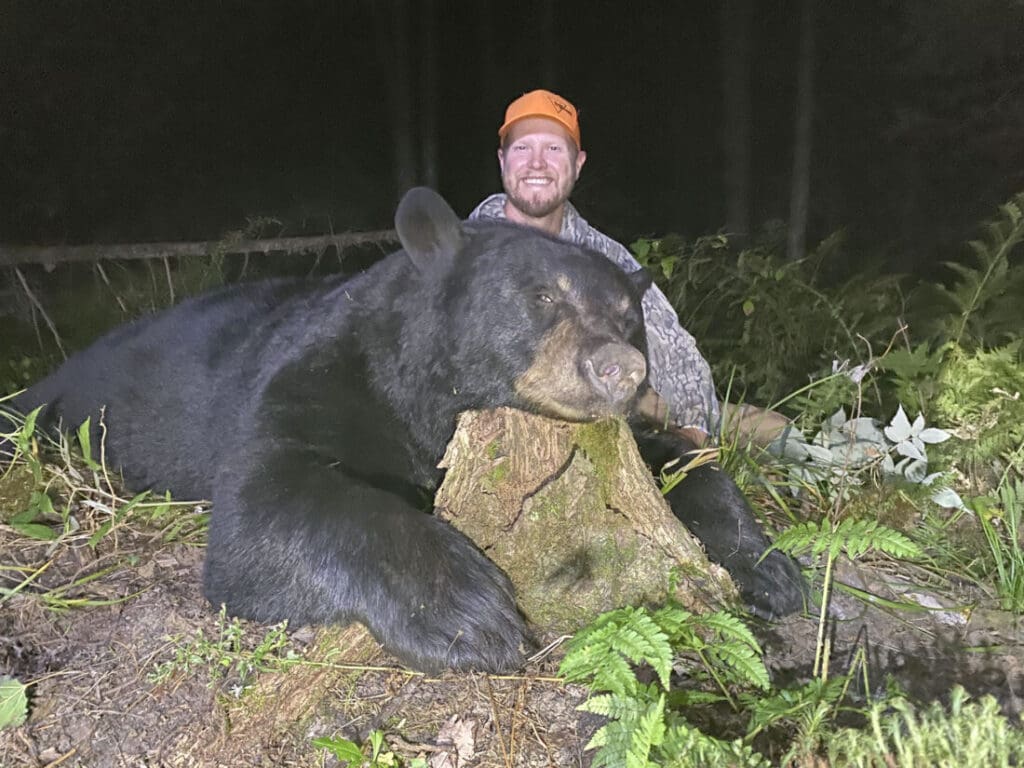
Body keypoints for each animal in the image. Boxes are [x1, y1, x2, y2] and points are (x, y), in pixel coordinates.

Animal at [2, 187, 804, 673]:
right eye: (541, 296)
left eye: (625, 315)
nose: (621, 369)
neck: (433, 395)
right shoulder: (322, 376)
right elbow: (269, 499)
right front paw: (469, 612)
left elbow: (684, 462)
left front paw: (769, 567)